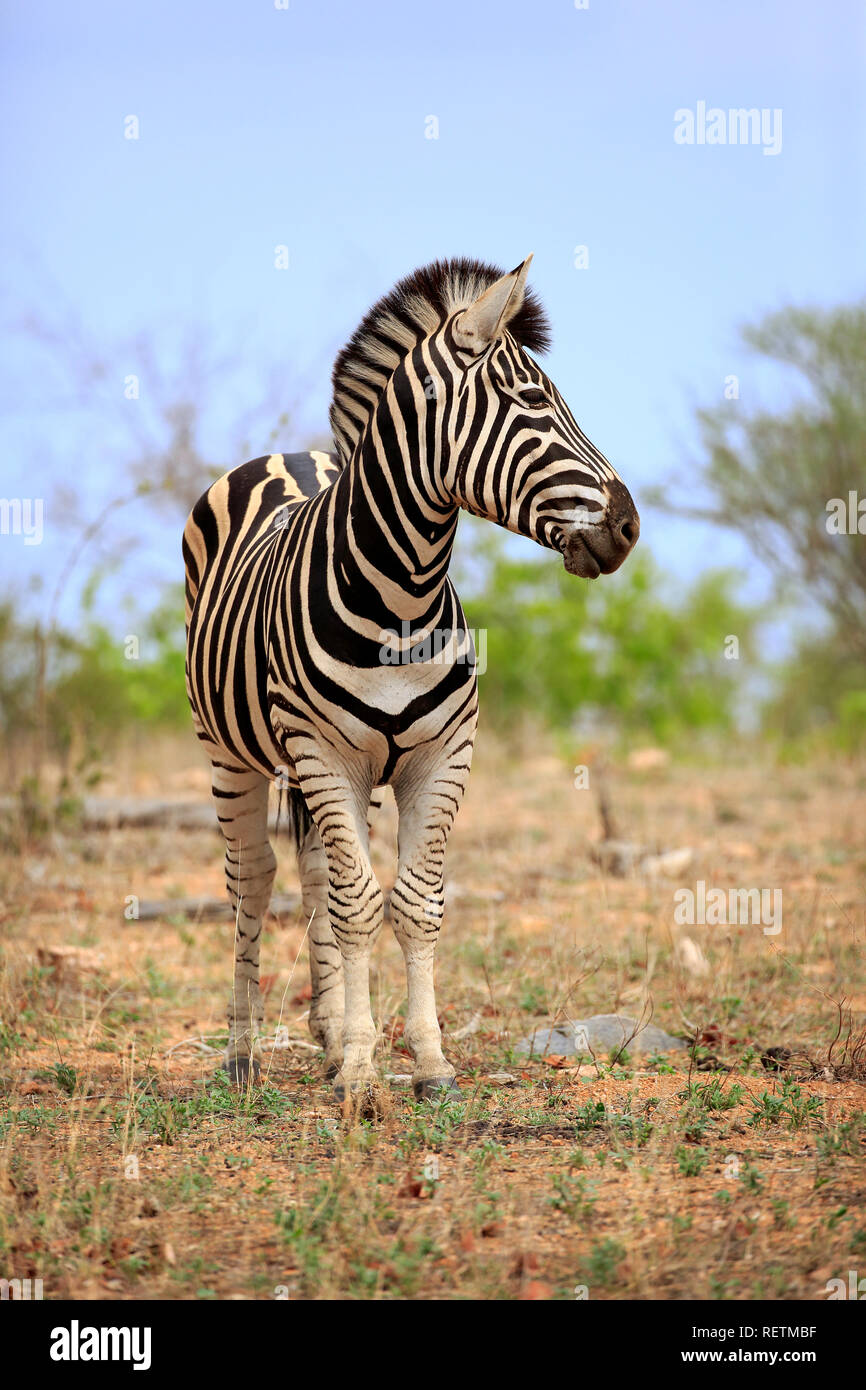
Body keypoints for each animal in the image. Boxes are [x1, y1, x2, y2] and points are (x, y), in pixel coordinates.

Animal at [183, 255, 639, 1101]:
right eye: (535, 401)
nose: (628, 528)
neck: (400, 597)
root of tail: (291, 453)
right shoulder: (325, 754)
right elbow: (361, 903)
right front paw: (364, 1073)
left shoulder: (441, 757)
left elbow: (415, 903)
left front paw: (423, 1063)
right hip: (230, 752)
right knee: (254, 878)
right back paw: (244, 1054)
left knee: (315, 872)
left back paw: (329, 1033)